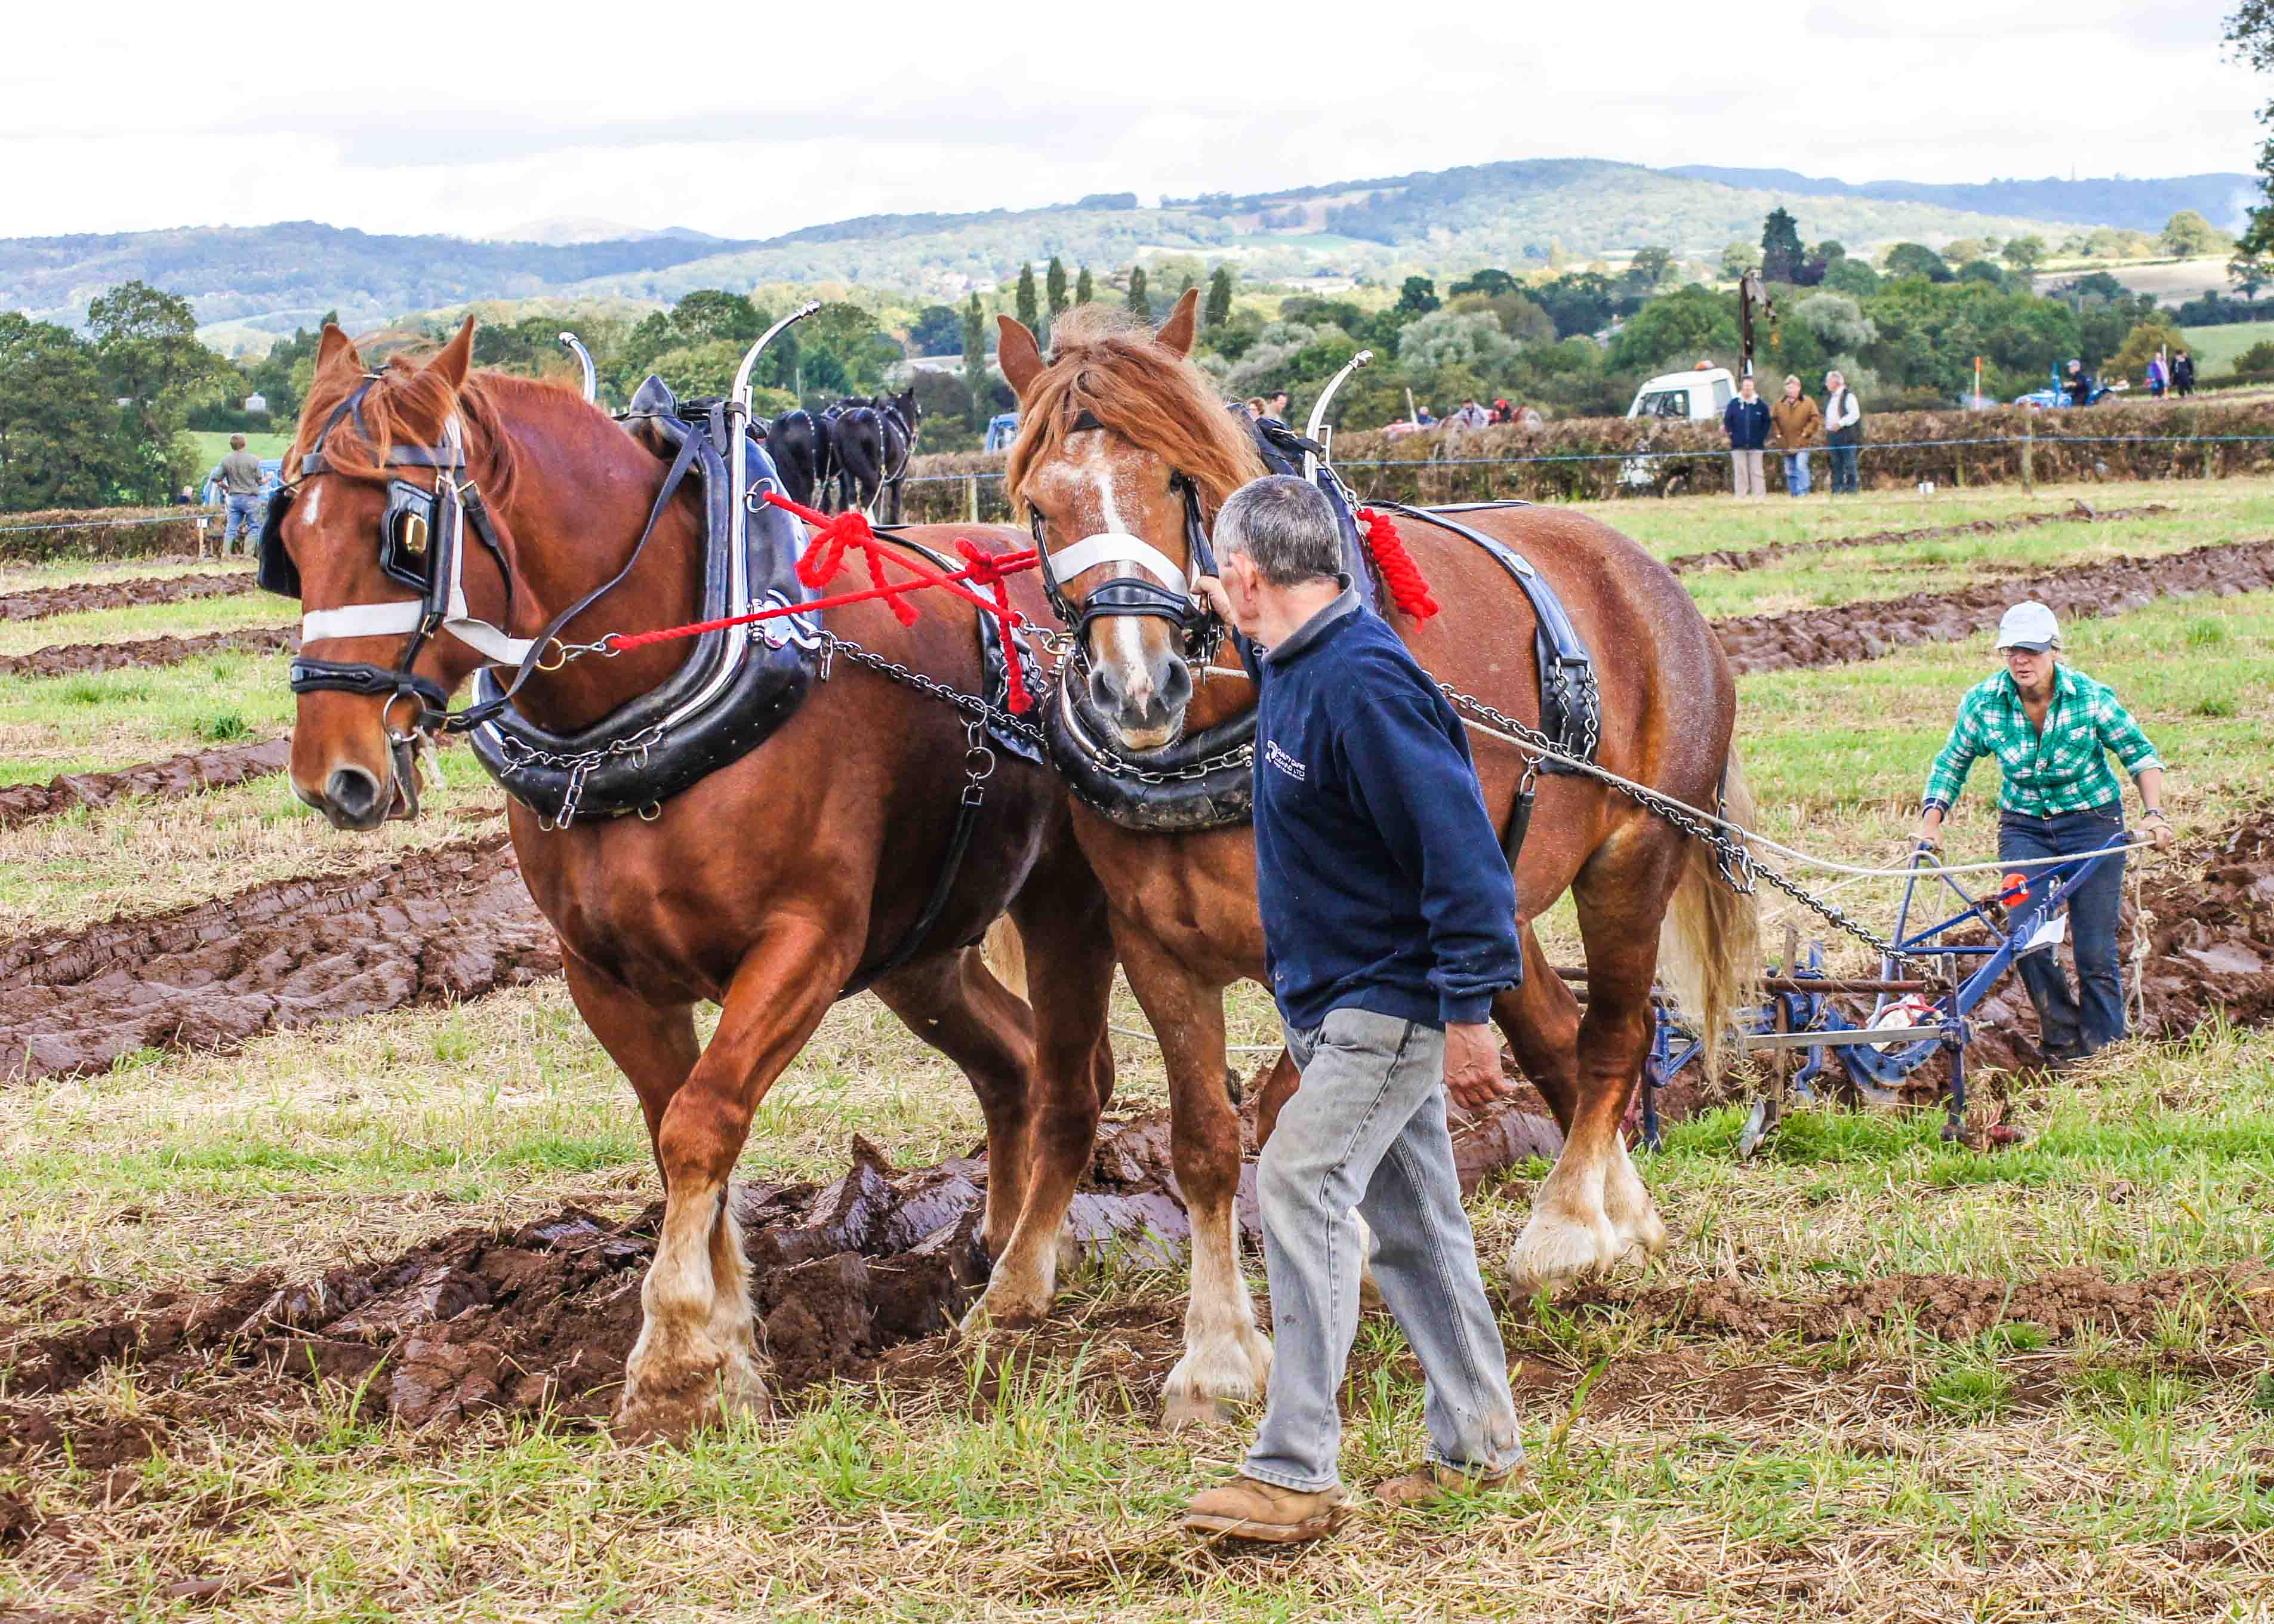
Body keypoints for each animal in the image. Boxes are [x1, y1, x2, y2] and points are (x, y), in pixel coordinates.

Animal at [274, 319, 1119, 1441]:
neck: (637, 694)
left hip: (1066, 900)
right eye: (288, 530)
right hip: (921, 951)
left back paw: (1024, 1277)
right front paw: (730, 1343)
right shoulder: (605, 972)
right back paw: (999, 1247)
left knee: (1074, 1077)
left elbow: (701, 1124)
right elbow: (672, 1128)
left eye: (404, 534)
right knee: (1013, 1067)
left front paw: (677, 1361)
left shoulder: (804, 945)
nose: (335, 773)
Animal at [998, 292, 1758, 1422]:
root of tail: (1642, 572)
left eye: (1177, 478)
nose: (1139, 689)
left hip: (1634, 854)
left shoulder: (1341, 946)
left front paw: (1325, 1278)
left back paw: (1567, 1227)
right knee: (1558, 1037)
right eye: (1041, 506)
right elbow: (1205, 1140)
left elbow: (1293, 1114)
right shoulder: (1154, 947)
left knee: (1615, 1033)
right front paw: (1219, 1353)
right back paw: (1621, 1214)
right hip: (1496, 897)